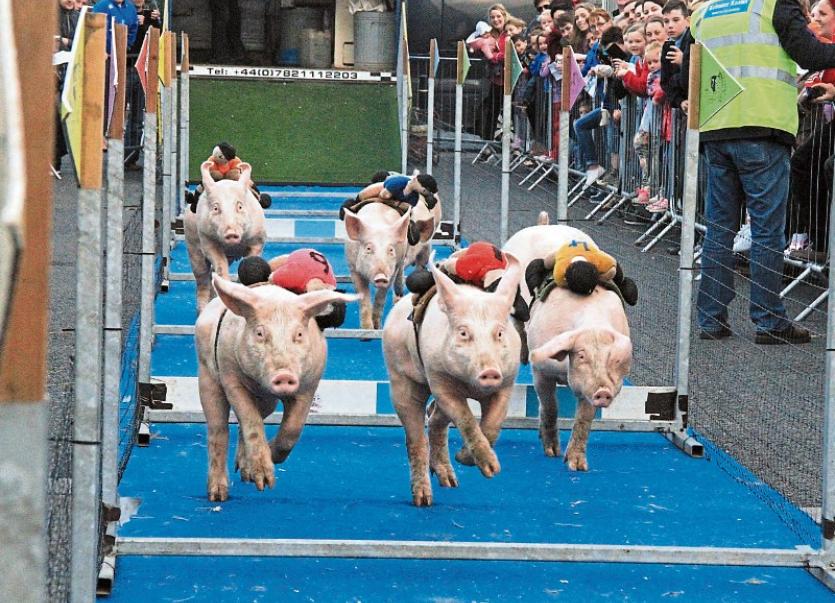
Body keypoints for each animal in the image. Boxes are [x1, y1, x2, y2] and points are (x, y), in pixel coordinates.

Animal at [185, 161, 267, 312]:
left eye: (239, 206)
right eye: (216, 208)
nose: (231, 233)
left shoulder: (258, 240)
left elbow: (250, 261)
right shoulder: (207, 240)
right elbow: (220, 266)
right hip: (191, 243)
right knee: (202, 279)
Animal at [194, 274, 359, 501]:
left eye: (299, 334)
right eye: (260, 333)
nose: (284, 376)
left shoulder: (309, 384)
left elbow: (292, 430)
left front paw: (270, 459)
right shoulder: (231, 378)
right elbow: (250, 421)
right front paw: (265, 482)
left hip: (268, 403)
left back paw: (245, 473)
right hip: (206, 376)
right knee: (218, 430)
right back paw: (218, 495)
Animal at [382, 252, 523, 506]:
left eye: (499, 333)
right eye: (463, 333)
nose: (490, 371)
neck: (471, 386)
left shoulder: (507, 382)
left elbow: (493, 423)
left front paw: (477, 464)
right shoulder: (439, 380)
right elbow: (466, 419)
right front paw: (490, 468)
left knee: (435, 418)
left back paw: (450, 481)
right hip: (399, 373)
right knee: (416, 438)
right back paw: (423, 500)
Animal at [503, 221, 633, 471]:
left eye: (613, 360)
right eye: (581, 356)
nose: (603, 391)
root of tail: (544, 224)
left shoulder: (588, 390)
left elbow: (584, 418)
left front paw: (577, 466)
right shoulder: (541, 370)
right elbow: (550, 406)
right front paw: (552, 452)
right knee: (518, 324)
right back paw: (522, 356)